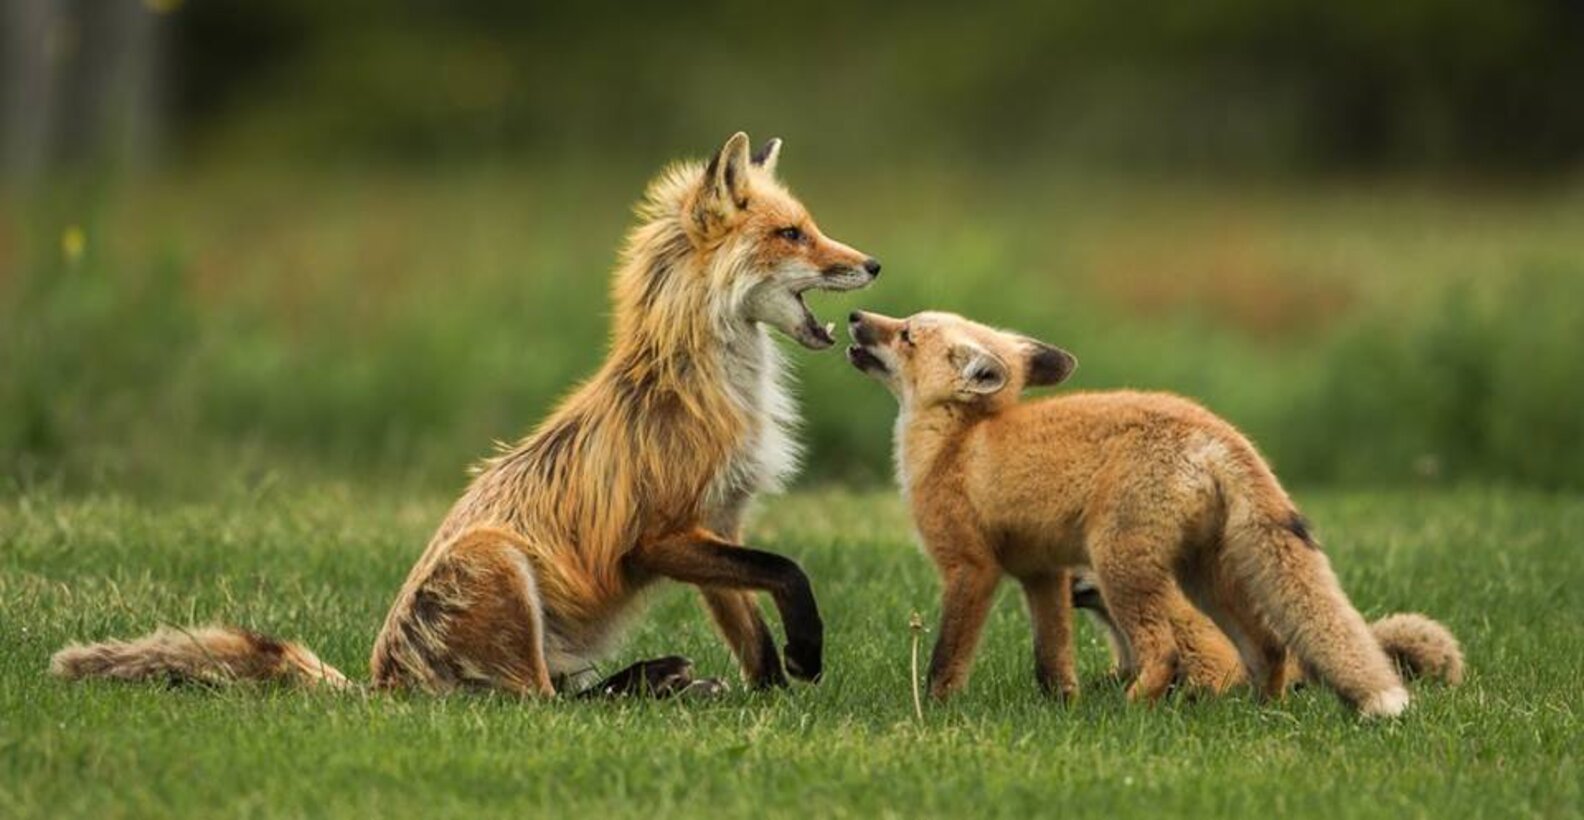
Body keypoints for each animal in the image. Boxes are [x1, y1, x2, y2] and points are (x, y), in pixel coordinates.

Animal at [52, 132, 881, 698]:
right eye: (792, 234)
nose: (872, 264)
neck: (707, 387)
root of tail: (383, 682)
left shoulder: (720, 521)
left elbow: (751, 625)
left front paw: (771, 696)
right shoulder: (661, 533)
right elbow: (788, 571)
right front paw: (807, 654)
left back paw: (659, 681)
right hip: (497, 561)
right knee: (540, 703)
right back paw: (646, 689)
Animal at [845, 308, 1463, 717]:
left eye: (905, 333)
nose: (854, 316)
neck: (957, 442)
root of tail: (1214, 430)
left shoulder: (970, 569)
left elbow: (947, 656)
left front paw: (933, 709)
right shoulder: (1042, 575)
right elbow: (1053, 660)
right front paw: (1062, 708)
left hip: (1121, 565)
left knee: (1164, 651)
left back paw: (1132, 707)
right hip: (1202, 576)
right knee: (1268, 645)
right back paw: (1261, 712)